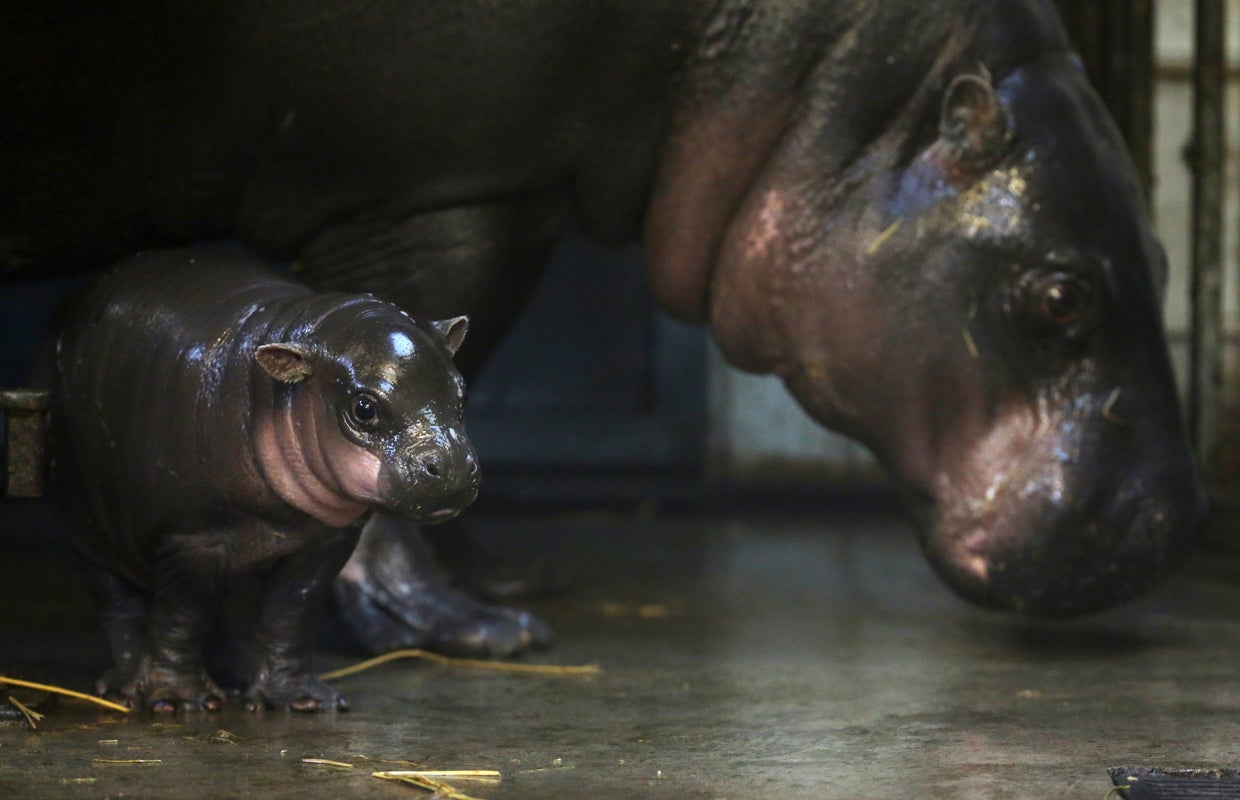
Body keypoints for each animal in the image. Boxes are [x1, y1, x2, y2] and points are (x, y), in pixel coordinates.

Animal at [1, 0, 1203, 646]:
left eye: (1162, 251)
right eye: (1058, 296)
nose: (1165, 532)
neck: (839, 90)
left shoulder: (509, 192)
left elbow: (453, 371)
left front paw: (503, 582)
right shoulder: (443, 192)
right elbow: (390, 371)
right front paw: (469, 630)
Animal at [42, 250, 479, 711]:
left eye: (460, 392)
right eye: (364, 408)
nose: (451, 466)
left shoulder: (327, 540)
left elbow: (291, 614)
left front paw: (300, 700)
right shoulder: (190, 538)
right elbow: (182, 615)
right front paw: (179, 701)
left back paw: (231, 680)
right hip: (86, 532)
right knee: (120, 606)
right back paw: (125, 687)